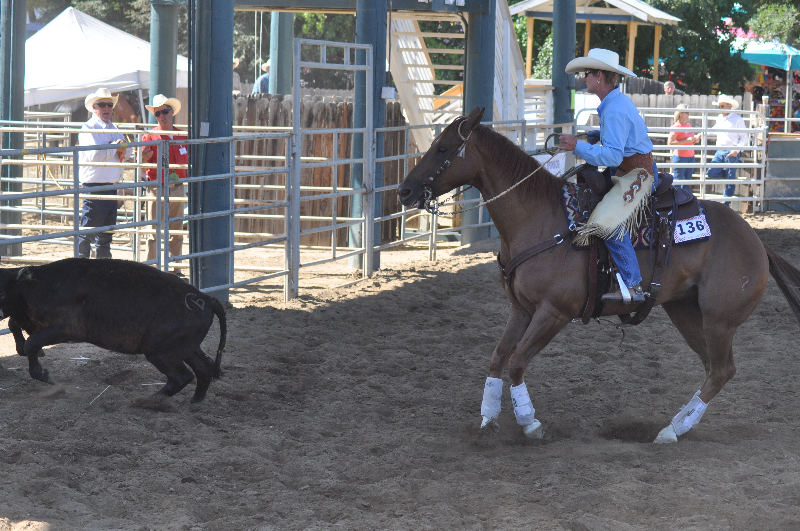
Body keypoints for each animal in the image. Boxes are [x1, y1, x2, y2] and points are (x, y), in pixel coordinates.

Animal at [397, 107, 800, 443]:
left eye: (443, 149)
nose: (404, 190)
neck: (539, 218)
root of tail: (755, 239)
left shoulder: (554, 312)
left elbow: (517, 362)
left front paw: (529, 423)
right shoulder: (521, 309)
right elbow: (498, 358)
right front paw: (487, 419)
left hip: (719, 320)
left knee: (721, 370)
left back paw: (672, 430)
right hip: (685, 311)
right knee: (713, 368)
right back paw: (677, 424)